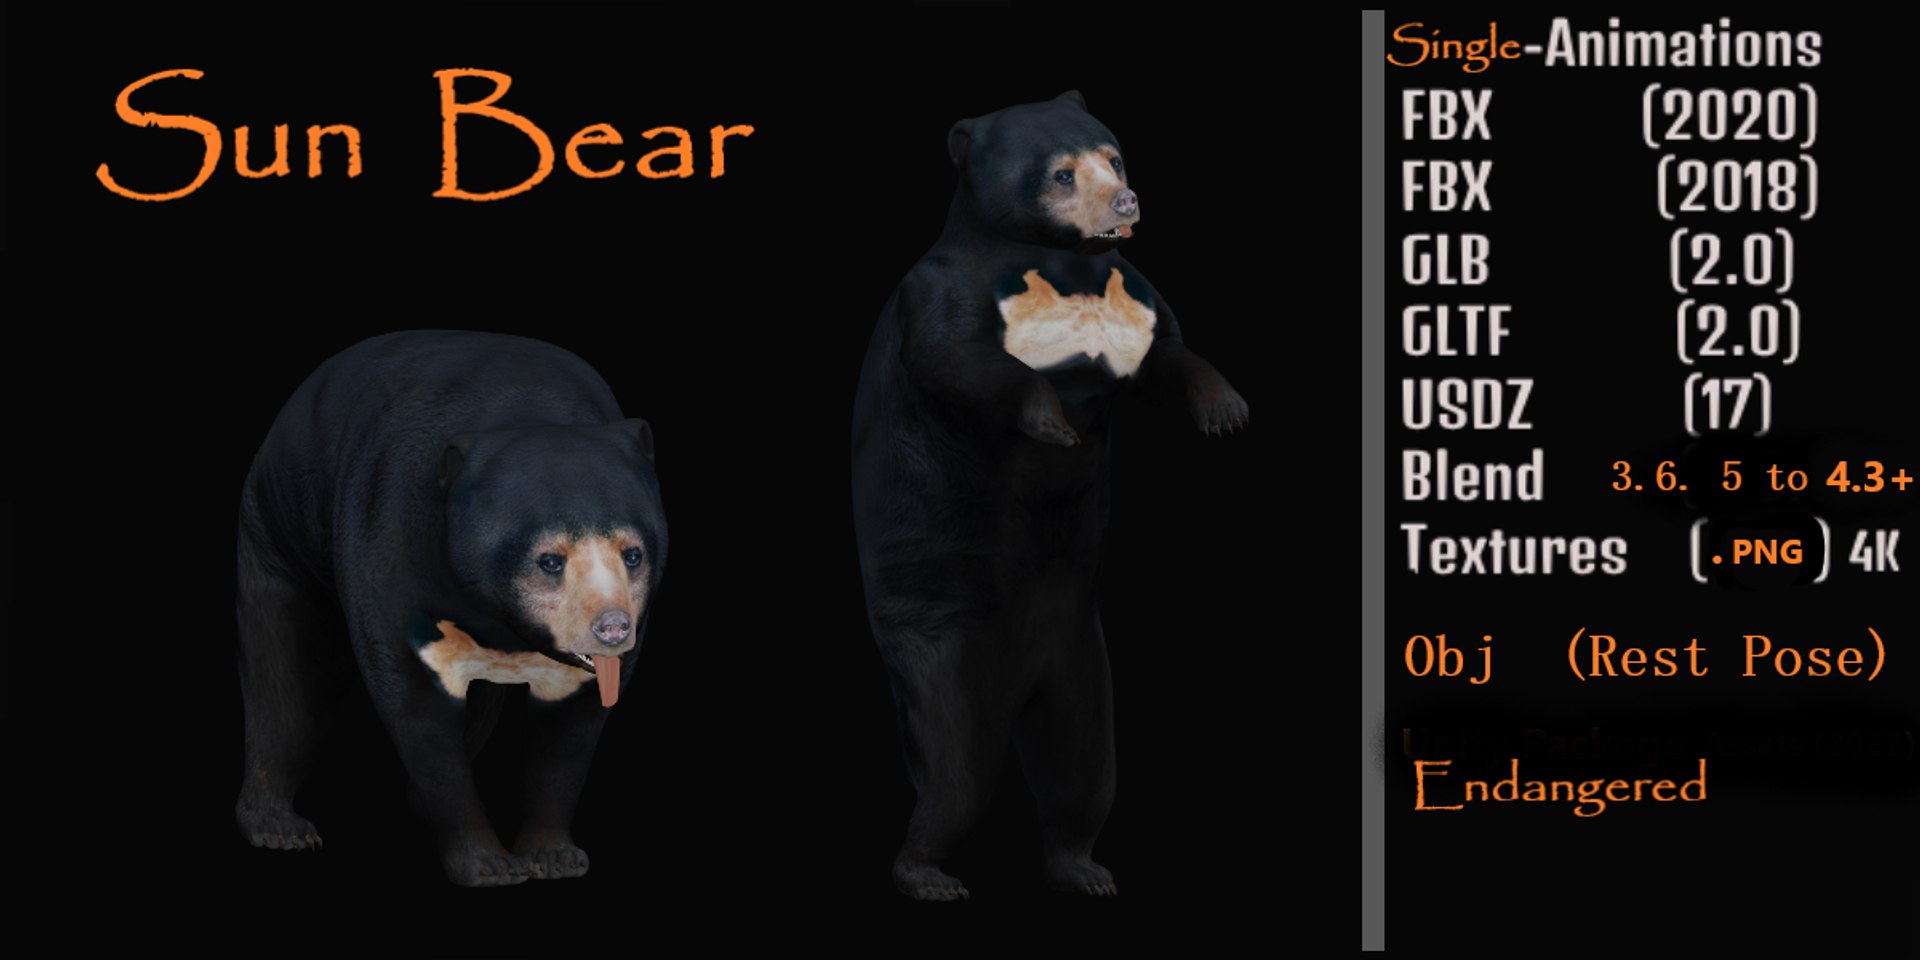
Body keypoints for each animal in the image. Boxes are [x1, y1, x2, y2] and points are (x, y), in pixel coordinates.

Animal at [233, 330, 668, 887]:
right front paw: (489, 864)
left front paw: (555, 856)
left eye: (633, 554)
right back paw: (278, 826)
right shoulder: (391, 534)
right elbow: (416, 699)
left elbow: (573, 723)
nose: (611, 628)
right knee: (281, 671)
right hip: (277, 531)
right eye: (549, 560)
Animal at [851, 91, 1248, 900]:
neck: (1067, 267)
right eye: (1062, 173)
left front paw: (1225, 408)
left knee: (1083, 766)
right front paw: (1050, 422)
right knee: (952, 767)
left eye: (1114, 156)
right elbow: (961, 360)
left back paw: (1083, 866)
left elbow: (1168, 349)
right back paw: (927, 872)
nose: (1126, 200)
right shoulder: (944, 293)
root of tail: (1019, 683)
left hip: (1080, 659)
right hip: (937, 641)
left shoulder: (1133, 290)